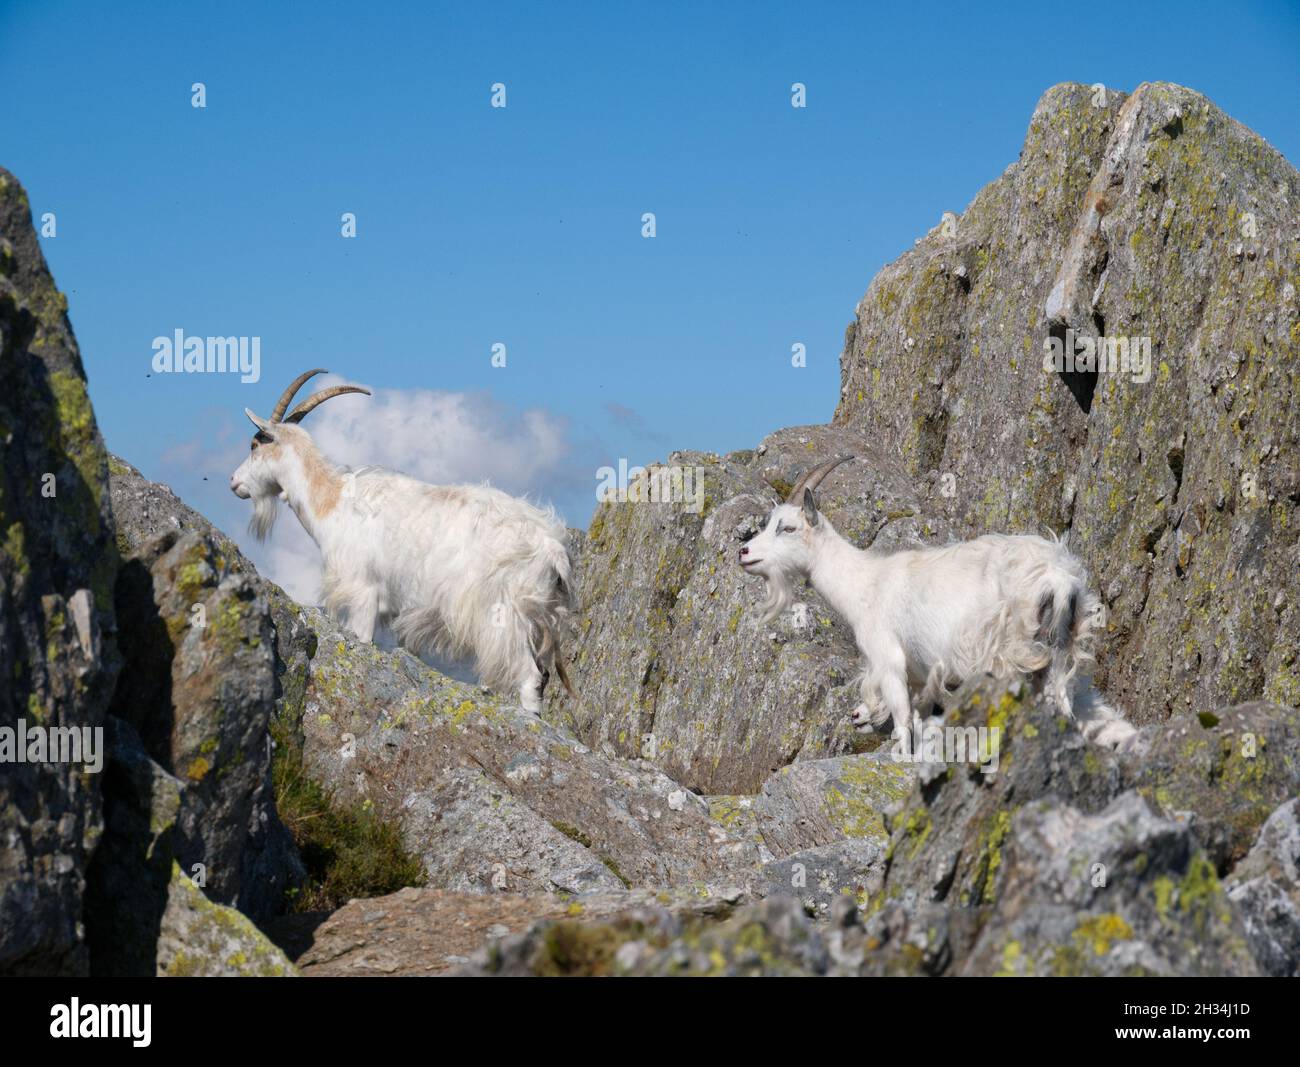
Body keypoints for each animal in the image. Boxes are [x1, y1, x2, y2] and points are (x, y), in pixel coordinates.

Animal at [229, 369, 576, 712]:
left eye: (254, 445)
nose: (234, 482)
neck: (334, 500)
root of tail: (552, 549)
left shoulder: (363, 592)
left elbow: (362, 638)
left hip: (504, 615)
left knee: (530, 677)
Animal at [738, 456, 1135, 749]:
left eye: (787, 528)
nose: (744, 553)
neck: (866, 582)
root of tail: (1058, 576)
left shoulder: (889, 659)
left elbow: (902, 721)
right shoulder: (922, 676)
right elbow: (918, 714)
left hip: (1010, 653)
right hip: (1060, 653)